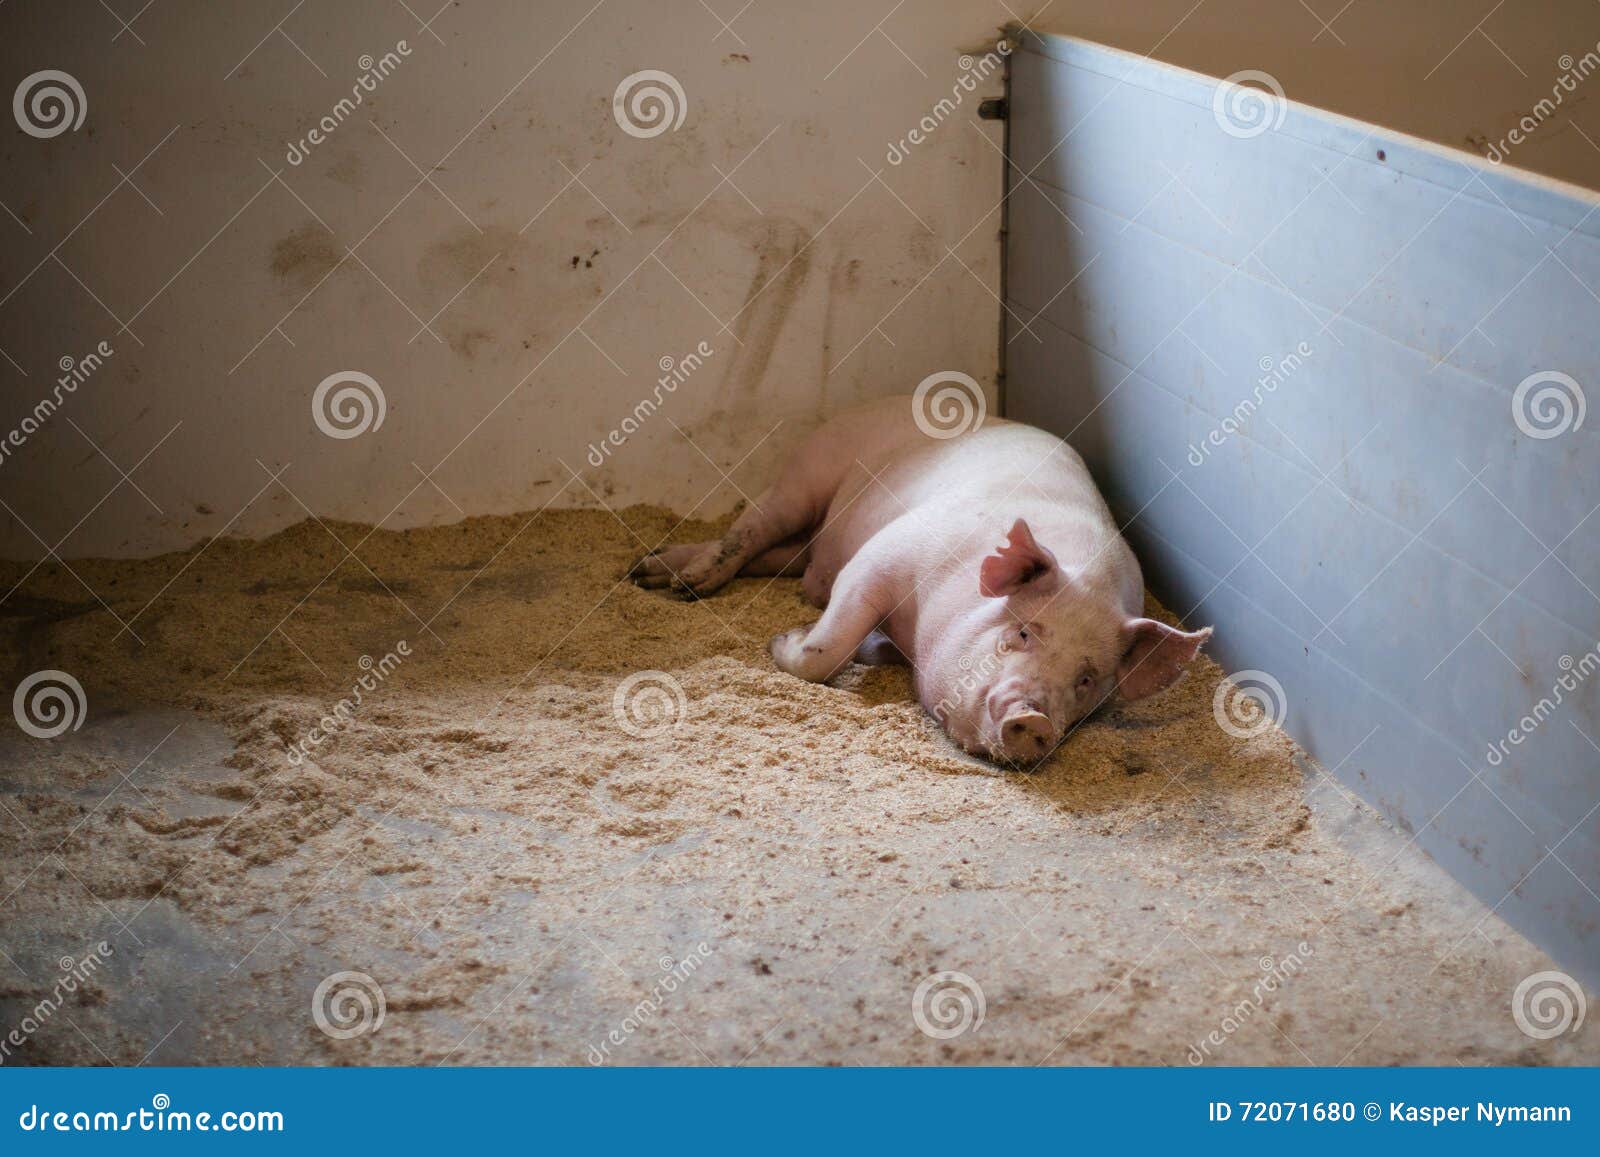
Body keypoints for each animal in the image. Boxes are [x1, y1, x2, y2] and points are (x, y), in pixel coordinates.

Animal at [629, 394, 1211, 765]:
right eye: (1022, 632)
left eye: (1087, 679)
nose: (1034, 718)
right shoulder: (882, 555)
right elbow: (829, 646)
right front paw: (782, 640)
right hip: (807, 472)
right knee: (752, 527)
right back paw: (672, 581)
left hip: (804, 536)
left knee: (780, 554)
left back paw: (650, 568)